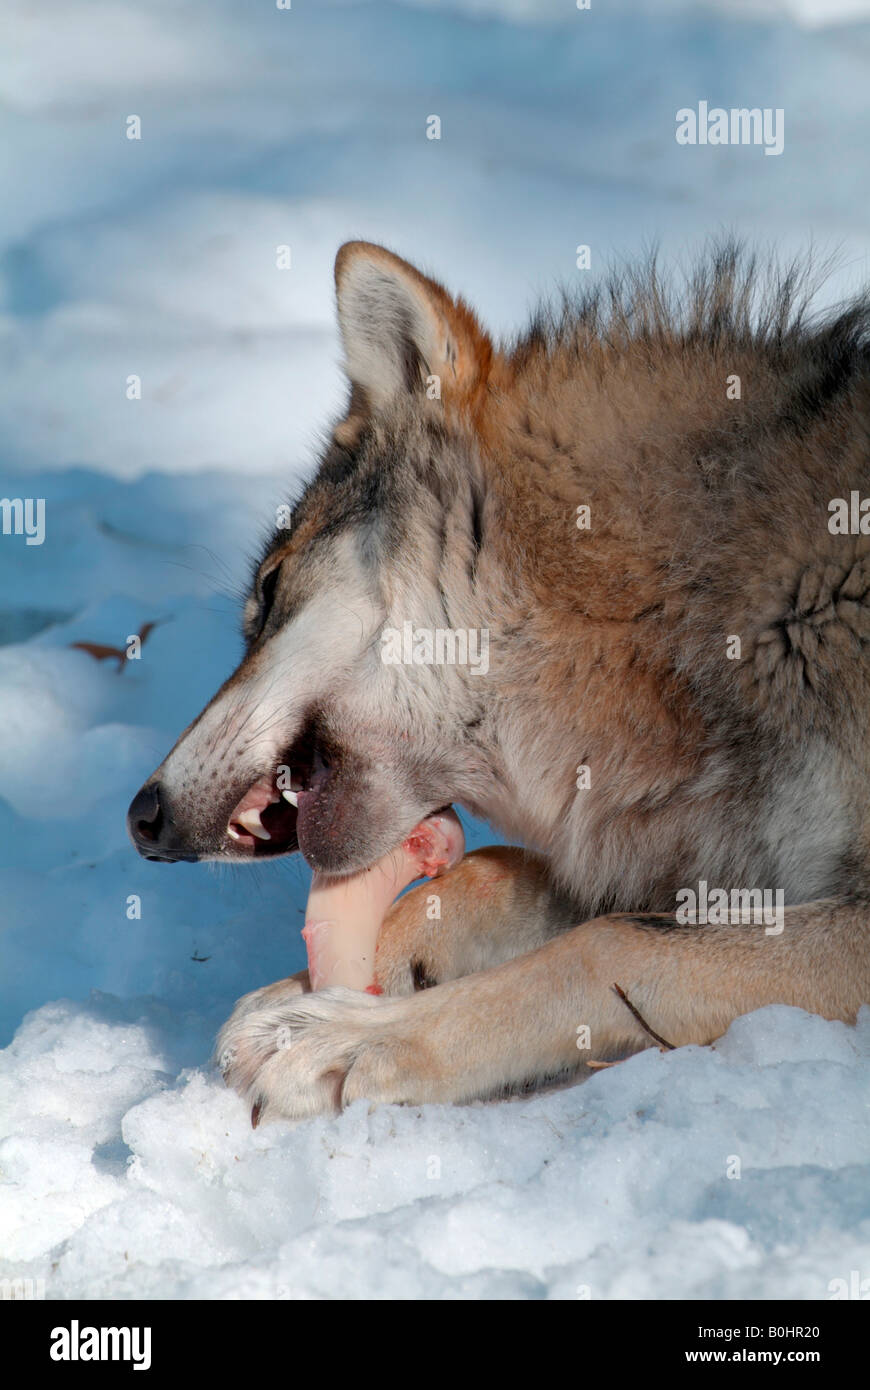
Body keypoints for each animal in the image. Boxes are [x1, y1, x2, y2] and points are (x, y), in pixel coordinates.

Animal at [128, 240, 870, 1123]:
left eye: (269, 595)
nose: (140, 818)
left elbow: (605, 944)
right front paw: (312, 990)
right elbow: (495, 871)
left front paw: (359, 1034)